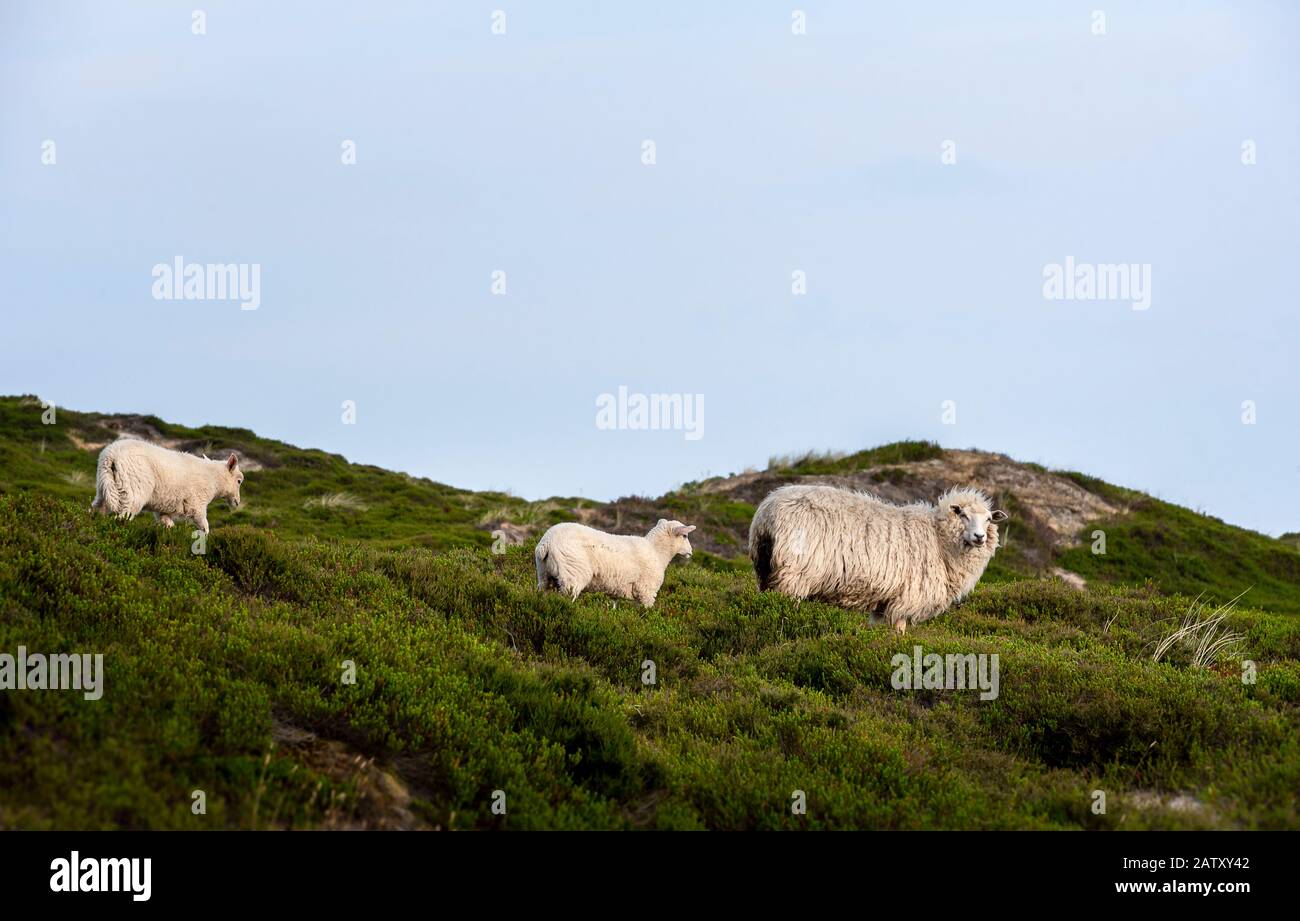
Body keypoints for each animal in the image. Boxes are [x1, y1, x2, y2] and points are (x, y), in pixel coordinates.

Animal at [90, 438, 244, 534]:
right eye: (239, 481)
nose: (237, 502)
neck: (214, 479)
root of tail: (111, 456)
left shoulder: (164, 509)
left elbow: (168, 524)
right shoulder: (196, 504)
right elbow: (204, 526)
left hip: (106, 486)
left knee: (96, 509)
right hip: (134, 490)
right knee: (122, 517)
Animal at [535, 519, 696, 607]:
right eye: (685, 536)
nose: (691, 552)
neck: (656, 551)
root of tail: (546, 542)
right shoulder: (646, 591)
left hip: (544, 575)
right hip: (572, 575)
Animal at [748, 484, 1007, 633]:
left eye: (988, 519)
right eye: (962, 515)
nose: (980, 537)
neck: (938, 538)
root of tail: (767, 513)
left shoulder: (886, 603)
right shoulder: (906, 598)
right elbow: (900, 632)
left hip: (766, 570)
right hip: (793, 573)